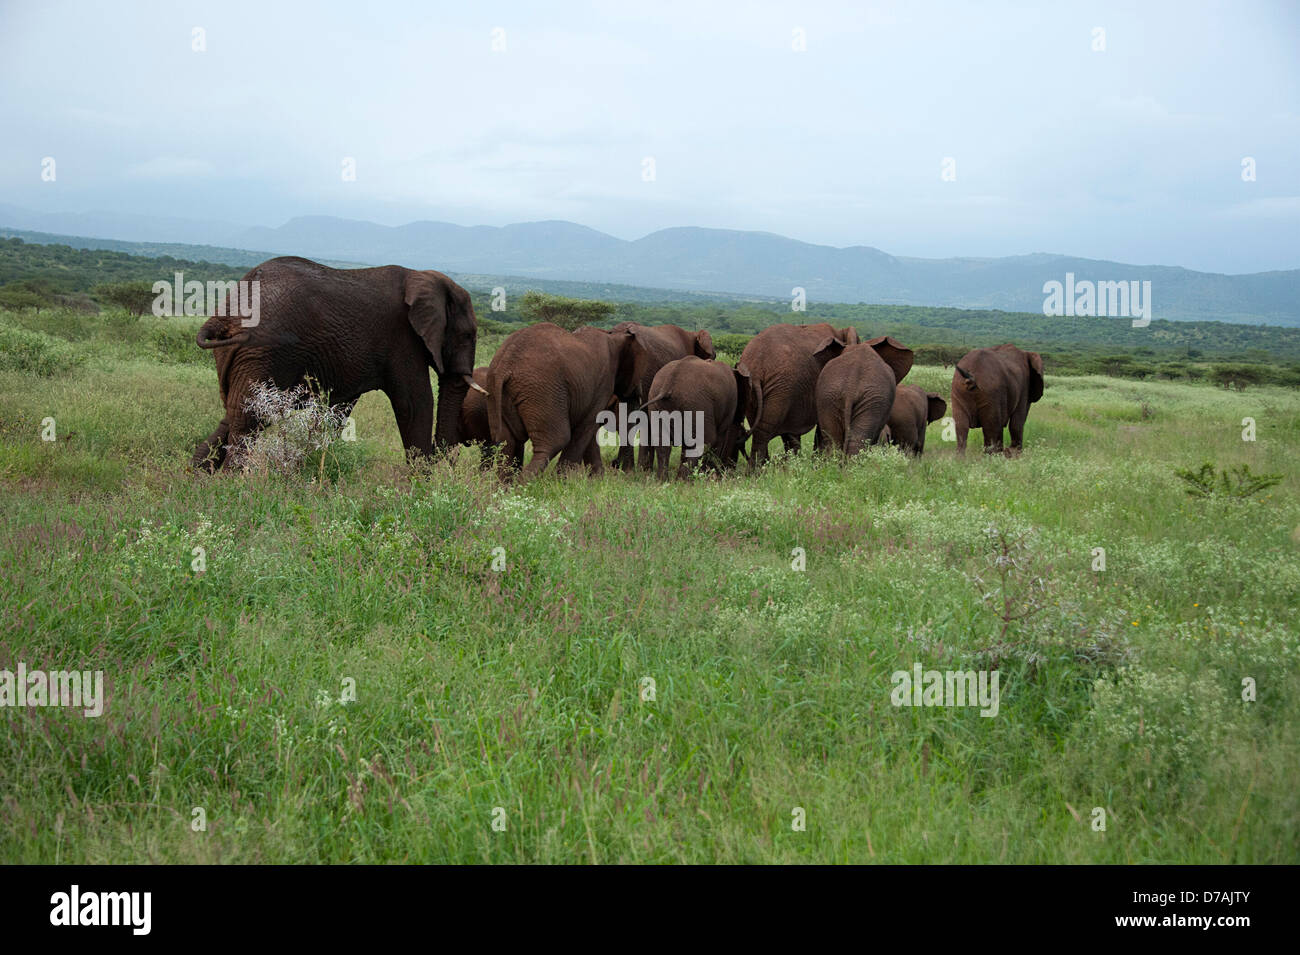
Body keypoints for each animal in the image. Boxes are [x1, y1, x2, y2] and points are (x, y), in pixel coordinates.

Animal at [192, 256, 481, 471]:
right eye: (468, 335)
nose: (444, 459)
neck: (422, 276)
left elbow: (337, 411)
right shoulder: (402, 339)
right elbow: (414, 403)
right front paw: (421, 489)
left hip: (240, 353)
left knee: (236, 412)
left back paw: (199, 476)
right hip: (263, 350)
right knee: (249, 417)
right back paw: (231, 483)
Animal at [486, 322, 641, 480]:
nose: (616, 465)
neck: (613, 336)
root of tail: (505, 363)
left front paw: (596, 479)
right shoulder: (603, 384)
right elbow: (587, 425)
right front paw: (566, 480)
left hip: (500, 392)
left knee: (507, 441)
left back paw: (504, 484)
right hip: (543, 390)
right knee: (555, 441)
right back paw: (525, 483)